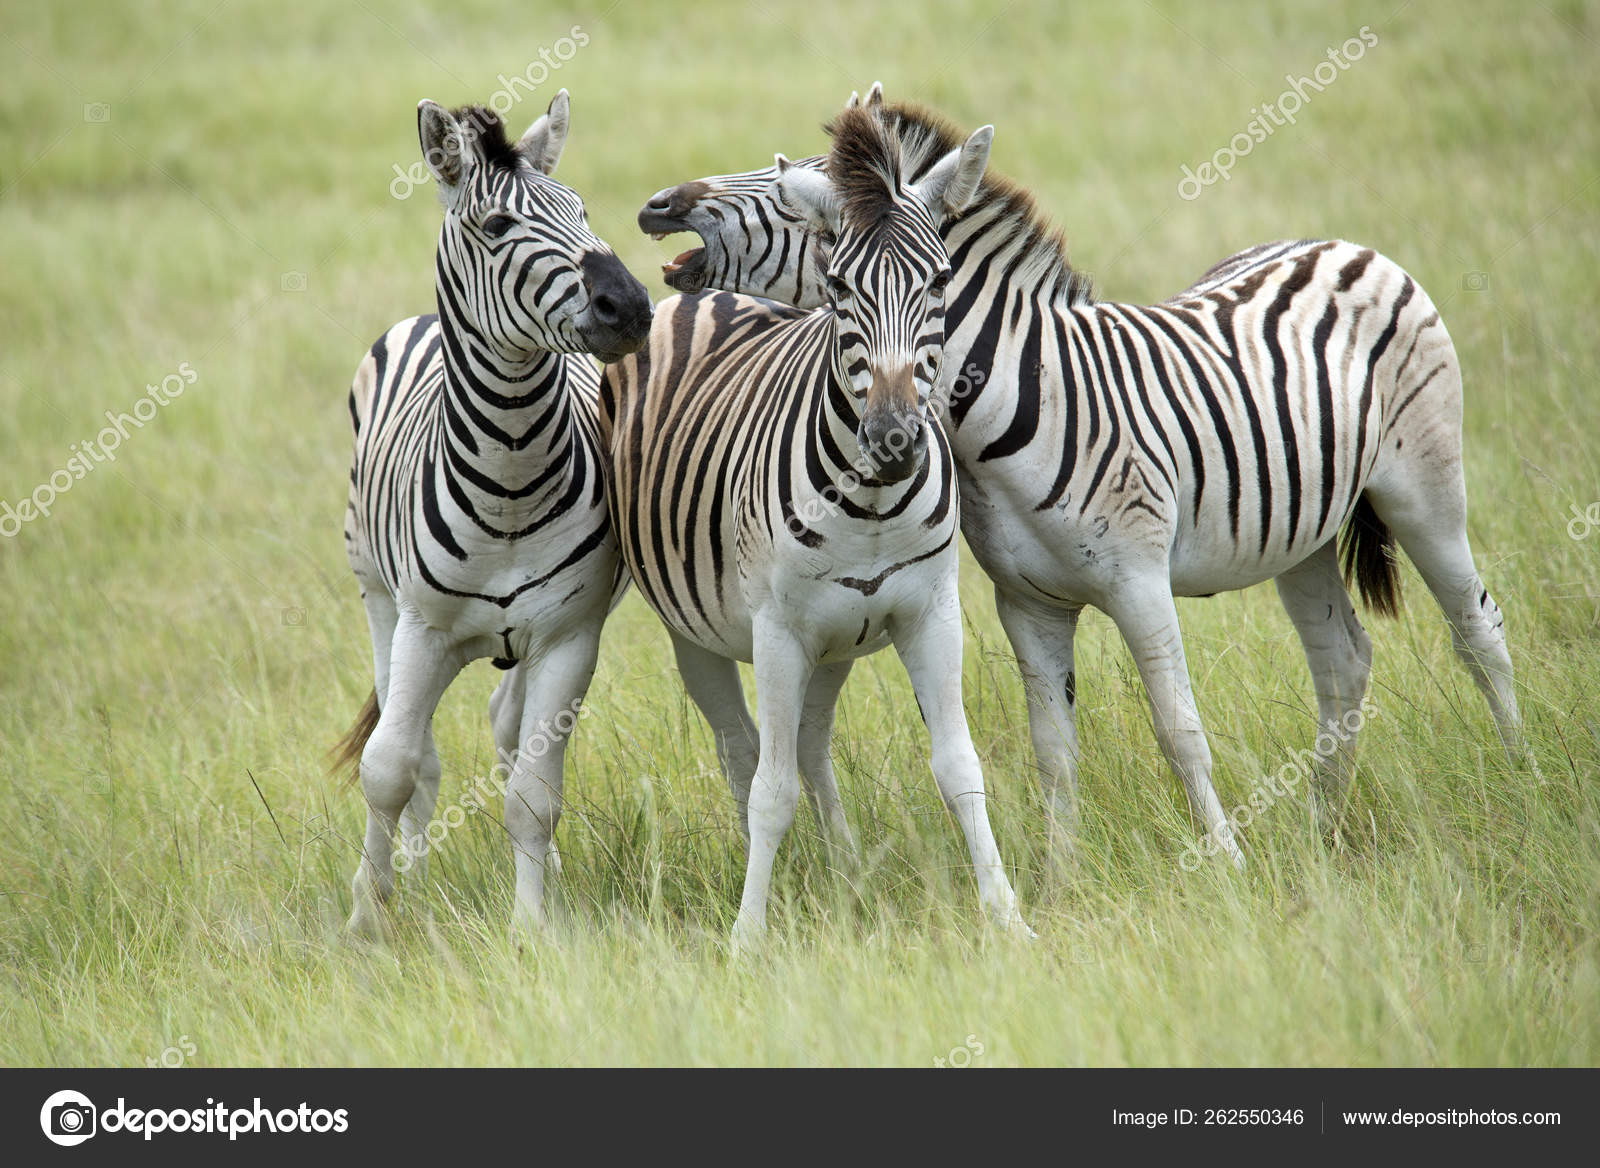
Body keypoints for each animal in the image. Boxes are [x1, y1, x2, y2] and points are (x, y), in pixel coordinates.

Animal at [332, 92, 653, 938]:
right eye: (499, 226)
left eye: (581, 209)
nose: (631, 306)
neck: (512, 479)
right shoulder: (423, 627)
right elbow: (388, 768)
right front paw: (369, 915)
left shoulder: (569, 637)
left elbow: (533, 796)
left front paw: (531, 927)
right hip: (378, 599)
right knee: (415, 747)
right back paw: (412, 875)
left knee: (506, 730)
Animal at [595, 105, 1031, 945]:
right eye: (838, 286)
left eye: (940, 282)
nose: (893, 440)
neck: (871, 509)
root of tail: (710, 296)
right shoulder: (776, 631)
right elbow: (770, 789)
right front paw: (748, 935)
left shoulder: (930, 615)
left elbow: (960, 769)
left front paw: (1008, 918)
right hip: (700, 634)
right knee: (746, 752)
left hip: (836, 643)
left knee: (808, 743)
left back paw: (844, 870)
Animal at [634, 84, 1530, 867]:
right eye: (834, 263)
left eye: (795, 199)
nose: (660, 205)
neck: (1004, 414)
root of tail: (1340, 246)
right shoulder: (1028, 602)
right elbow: (1052, 749)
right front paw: (1060, 882)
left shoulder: (1138, 579)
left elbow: (1179, 729)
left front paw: (1228, 864)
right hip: (1301, 537)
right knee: (1342, 661)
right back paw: (1322, 827)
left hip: (1424, 488)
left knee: (1478, 630)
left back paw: (1519, 781)